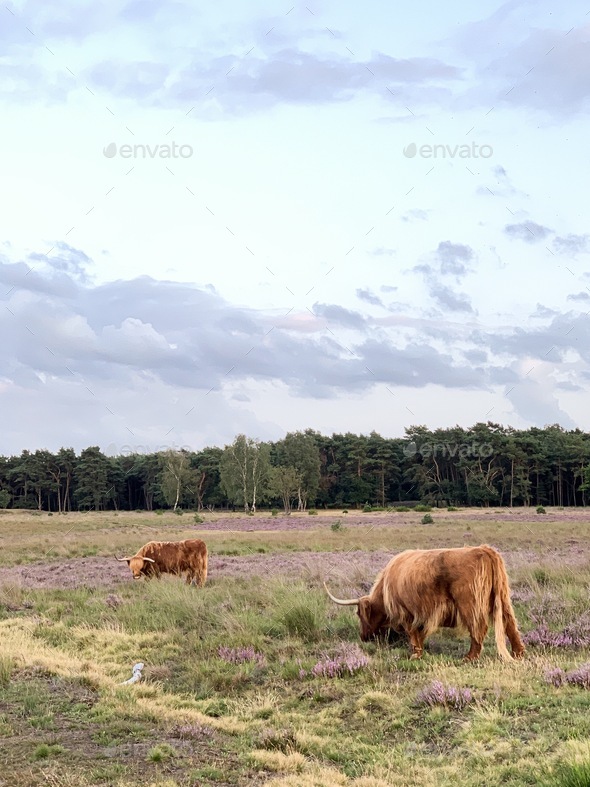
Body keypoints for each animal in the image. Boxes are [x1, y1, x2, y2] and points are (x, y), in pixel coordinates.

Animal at [324, 544, 525, 662]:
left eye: (358, 614)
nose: (363, 637)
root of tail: (485, 549)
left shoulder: (406, 612)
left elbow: (413, 633)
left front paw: (415, 654)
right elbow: (420, 633)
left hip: (469, 602)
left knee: (478, 628)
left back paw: (469, 657)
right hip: (503, 597)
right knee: (510, 624)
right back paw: (519, 653)